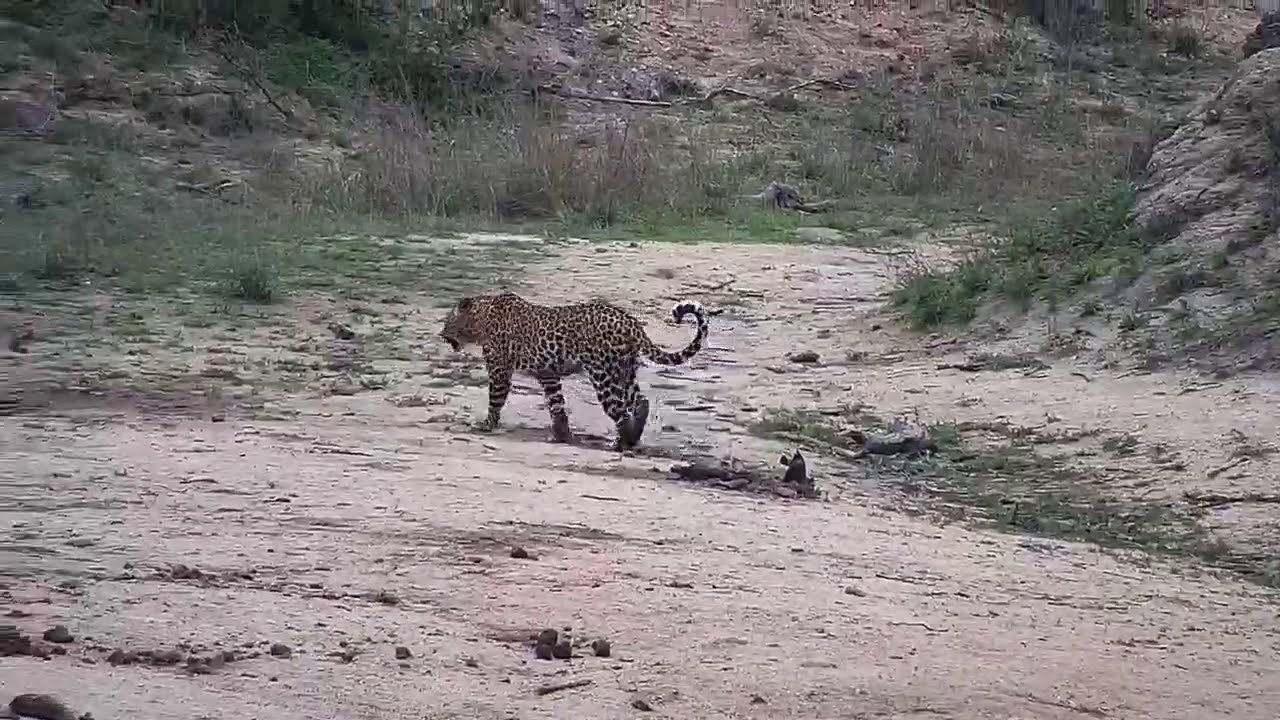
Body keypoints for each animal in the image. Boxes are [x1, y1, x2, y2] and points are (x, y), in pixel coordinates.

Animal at [437, 291, 709, 451]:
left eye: (447, 321)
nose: (440, 334)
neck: (481, 318)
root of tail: (632, 322)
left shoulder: (499, 371)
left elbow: (495, 400)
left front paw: (486, 425)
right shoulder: (548, 373)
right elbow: (556, 405)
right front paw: (562, 436)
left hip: (603, 374)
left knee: (620, 411)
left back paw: (620, 444)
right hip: (624, 370)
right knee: (640, 401)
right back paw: (632, 439)